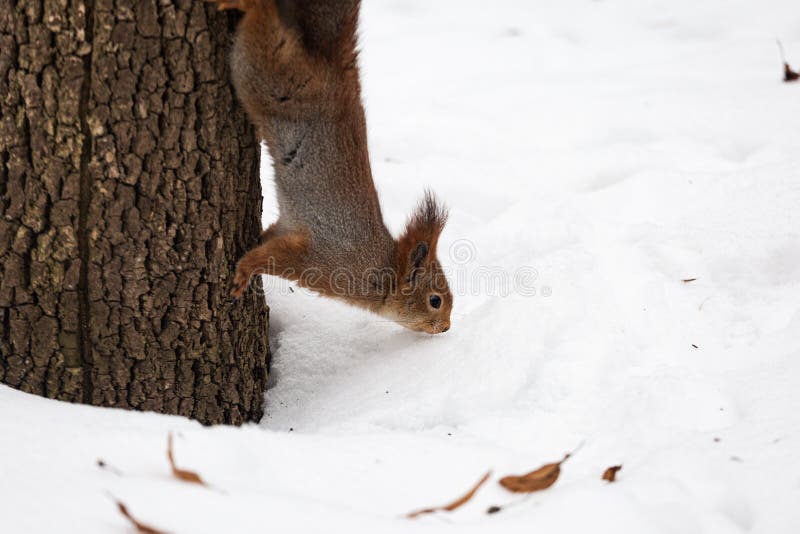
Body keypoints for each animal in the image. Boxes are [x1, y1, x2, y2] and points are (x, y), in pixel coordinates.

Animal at [213, 0, 453, 334]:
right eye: (435, 300)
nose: (446, 327)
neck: (383, 273)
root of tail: (333, 64)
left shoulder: (287, 229)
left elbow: (268, 238)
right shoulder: (321, 261)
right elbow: (270, 258)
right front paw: (245, 272)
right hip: (271, 77)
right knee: (266, 26)